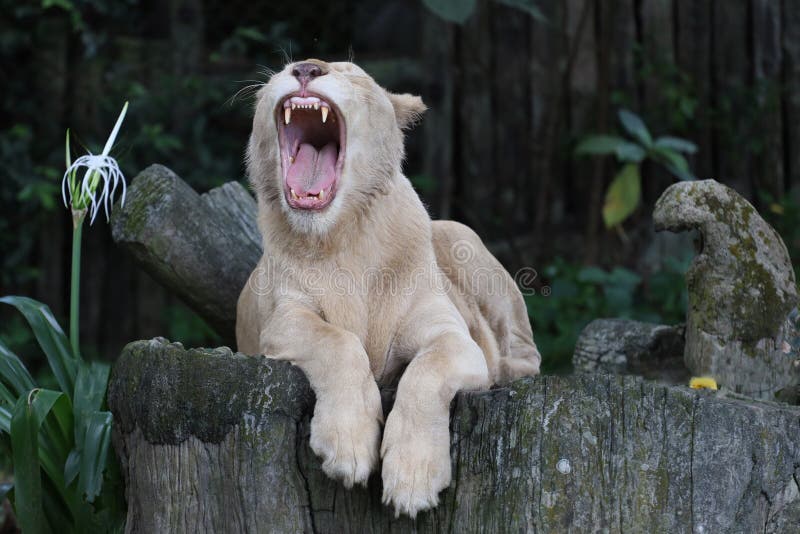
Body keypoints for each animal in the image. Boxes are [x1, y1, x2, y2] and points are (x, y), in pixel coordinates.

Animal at [236, 59, 541, 518]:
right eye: (284, 69)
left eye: (351, 73)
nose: (306, 68)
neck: (343, 239)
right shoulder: (283, 318)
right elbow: (337, 342)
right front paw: (348, 445)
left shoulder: (452, 336)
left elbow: (426, 373)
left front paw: (413, 480)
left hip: (462, 237)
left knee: (527, 353)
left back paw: (501, 372)